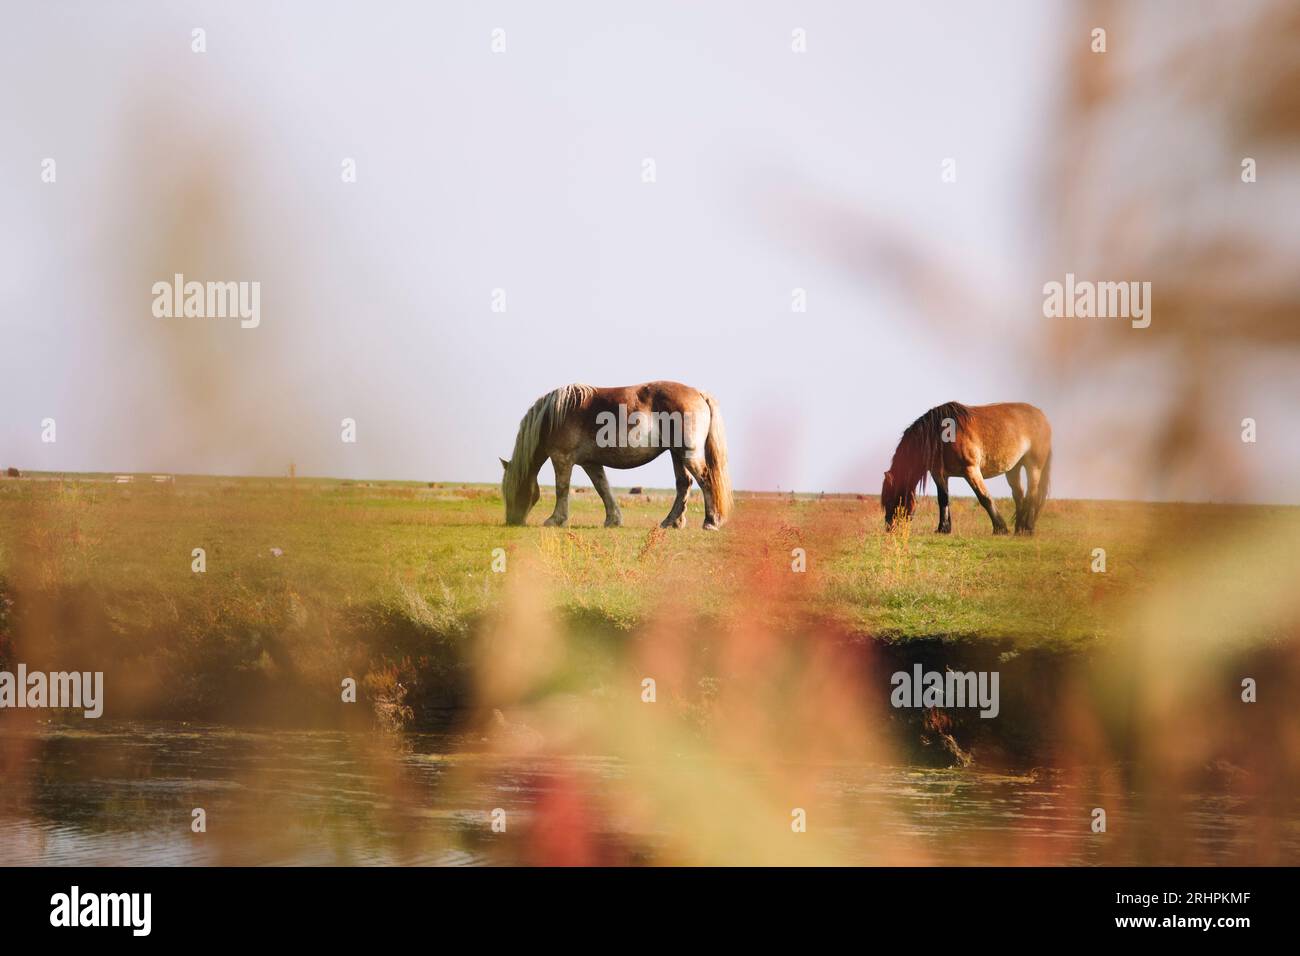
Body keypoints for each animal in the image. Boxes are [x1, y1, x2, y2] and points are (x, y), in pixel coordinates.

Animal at [500, 382, 733, 530]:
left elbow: (562, 488)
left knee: (705, 480)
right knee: (684, 484)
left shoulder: (562, 459)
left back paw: (710, 521)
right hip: (677, 453)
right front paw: (613, 520)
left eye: (510, 489)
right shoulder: (590, 463)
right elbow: (603, 488)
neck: (554, 416)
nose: (512, 521)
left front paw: (556, 519)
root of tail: (698, 393)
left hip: (687, 453)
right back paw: (671, 522)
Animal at [881, 402, 1052, 535]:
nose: (889, 528)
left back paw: (1027, 529)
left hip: (1034, 466)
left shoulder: (971, 470)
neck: (942, 435)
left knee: (1032, 494)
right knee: (1019, 495)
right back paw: (1019, 529)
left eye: (890, 499)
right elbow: (943, 499)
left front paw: (1000, 528)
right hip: (1013, 469)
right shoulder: (940, 474)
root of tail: (1042, 417)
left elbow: (984, 498)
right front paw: (943, 528)